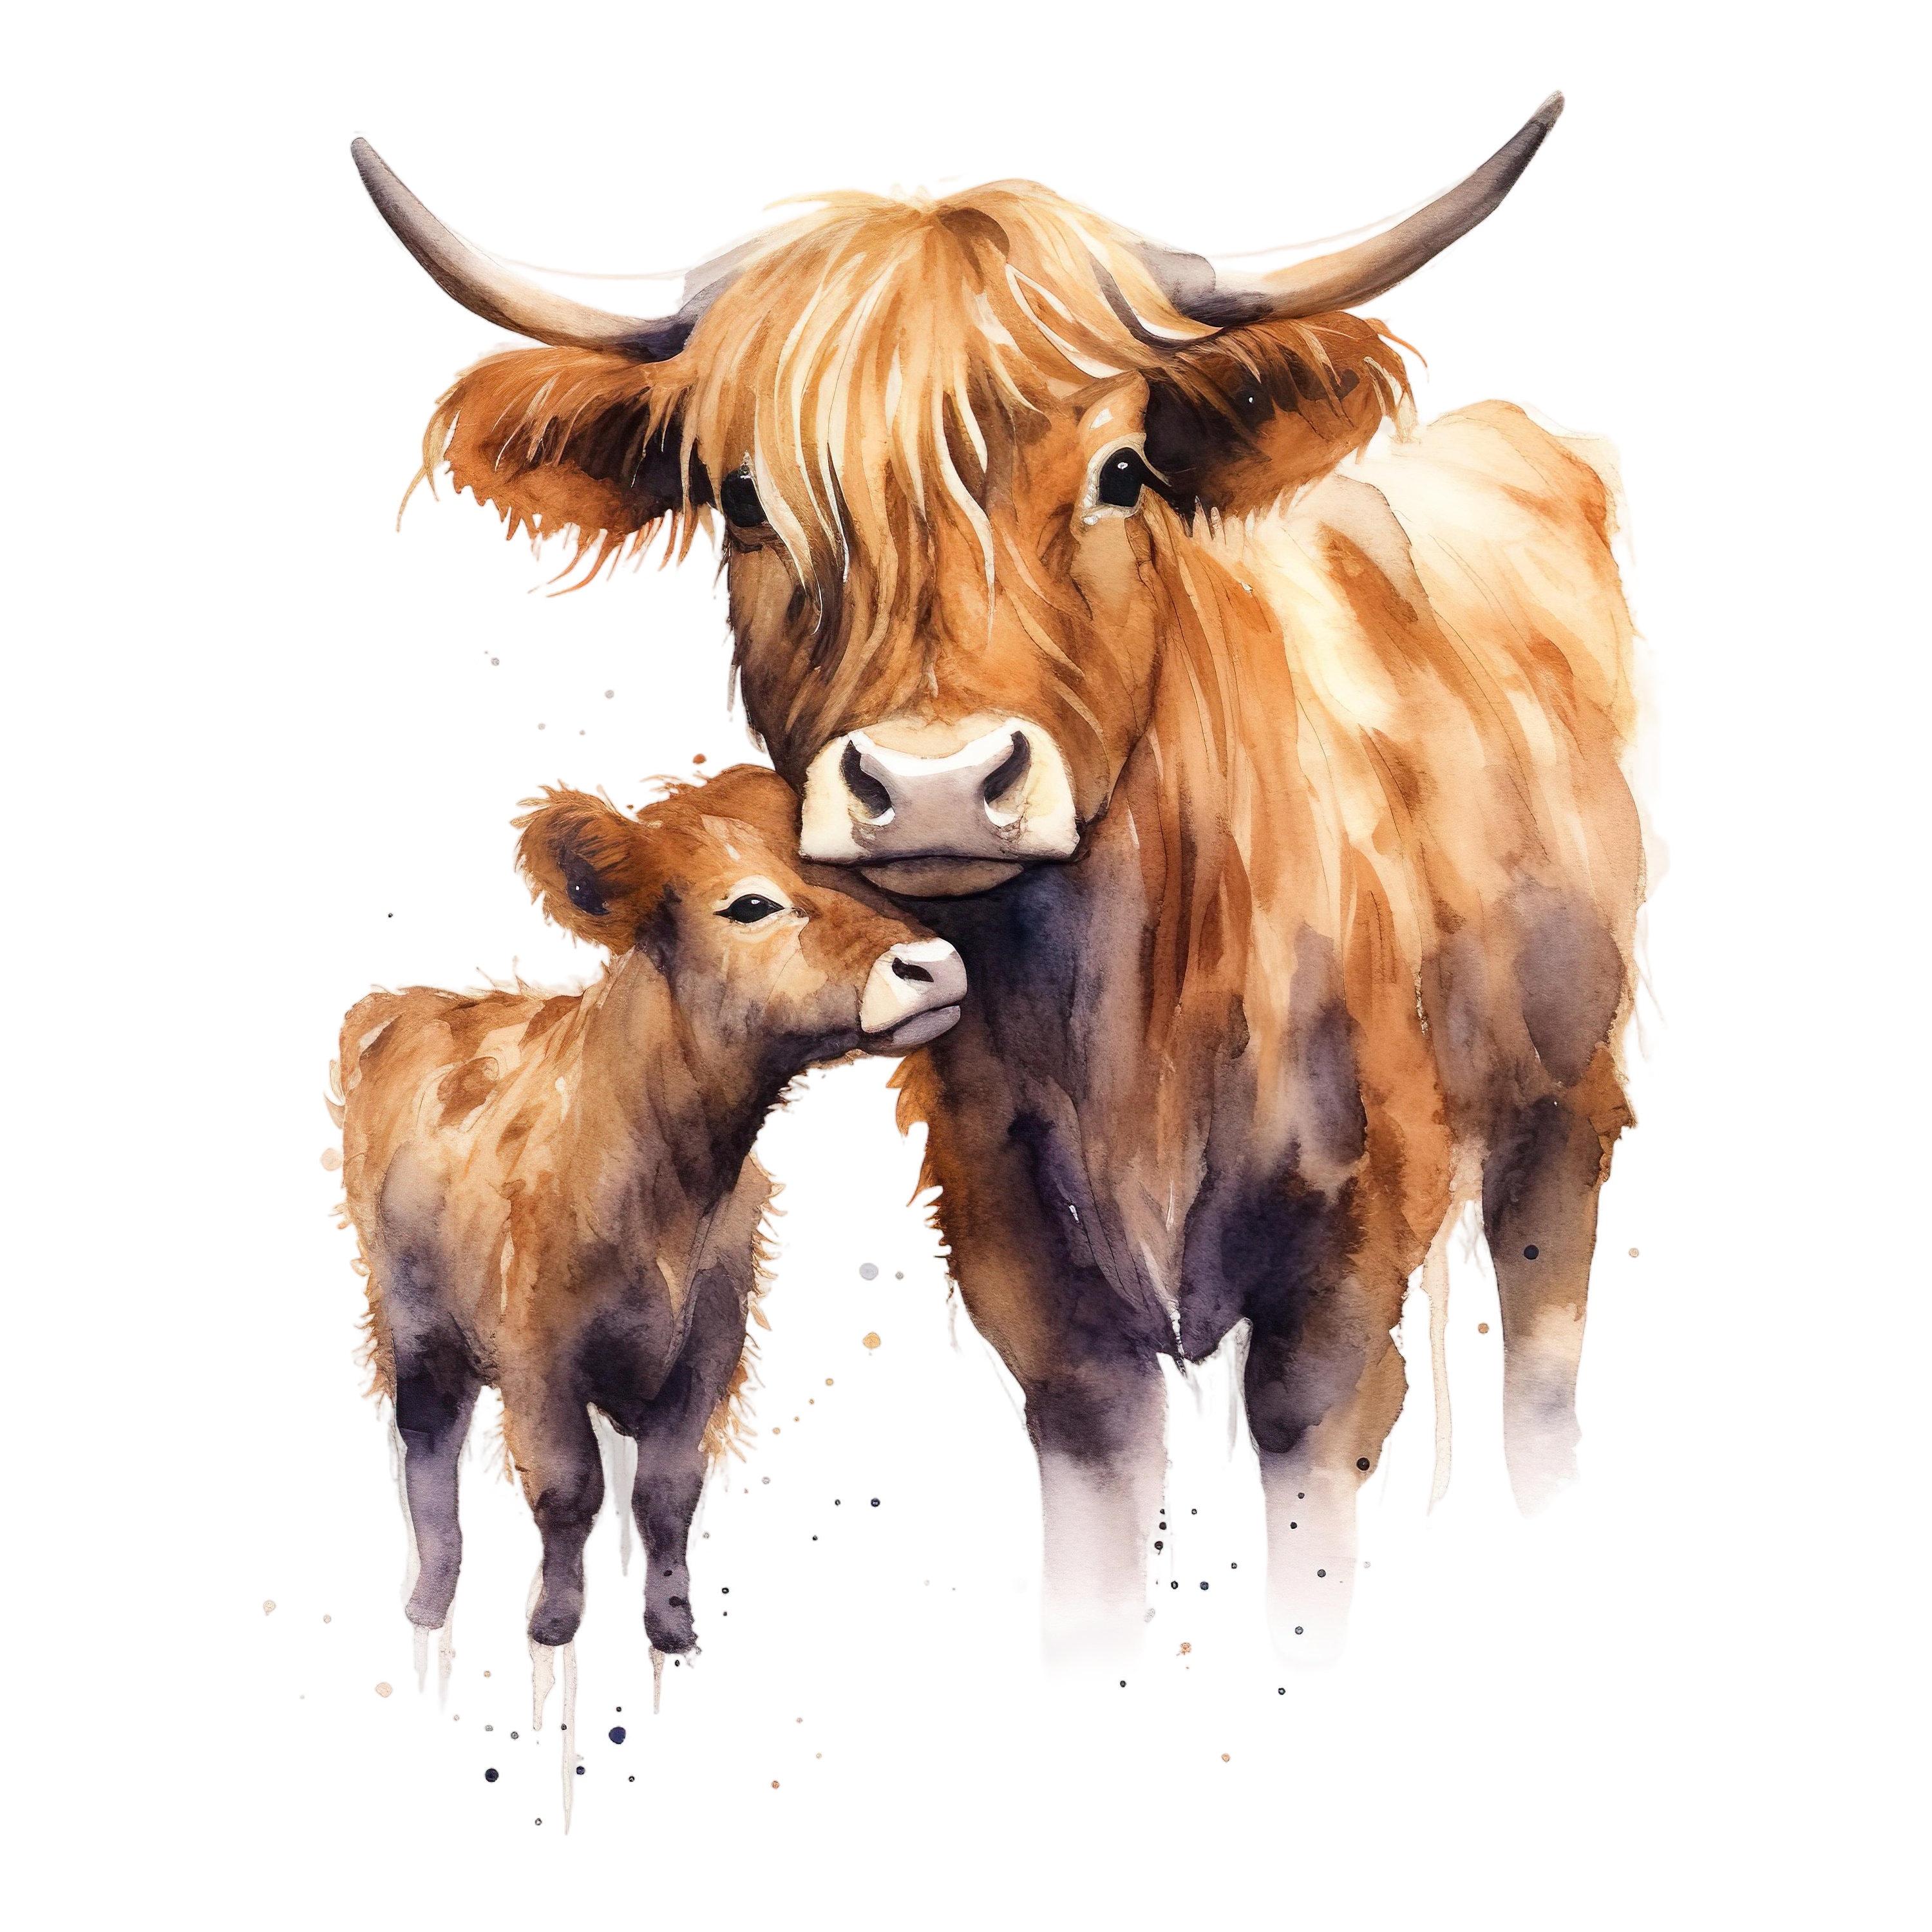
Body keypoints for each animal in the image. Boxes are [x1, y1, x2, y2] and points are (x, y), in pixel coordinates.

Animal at [334, 766, 967, 1658]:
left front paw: (672, 1625)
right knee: (427, 1449)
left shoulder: (709, 1354)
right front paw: (554, 1623)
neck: (670, 1187)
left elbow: (668, 1495)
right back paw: (429, 1605)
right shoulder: (538, 1361)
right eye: (751, 905)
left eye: (867, 885)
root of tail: (411, 1005)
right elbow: (567, 1491)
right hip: (415, 1320)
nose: (935, 965)